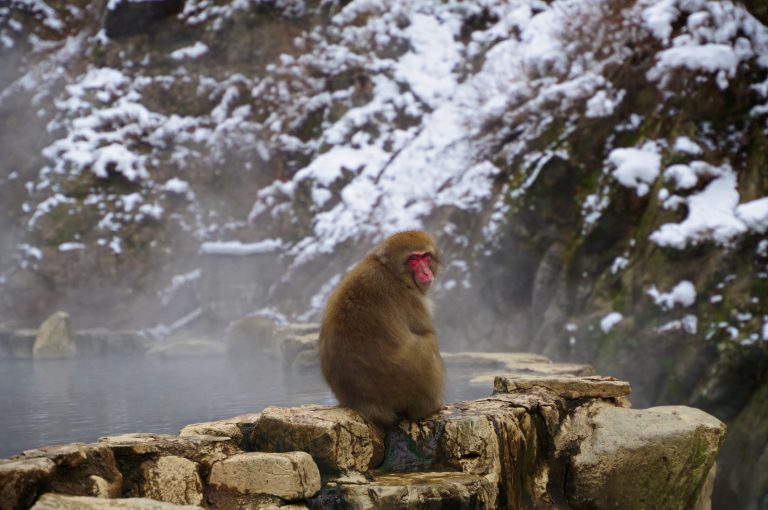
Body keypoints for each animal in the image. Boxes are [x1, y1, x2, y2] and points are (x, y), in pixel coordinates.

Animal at [319, 230, 444, 427]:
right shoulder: (412, 300)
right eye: (413, 259)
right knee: (427, 344)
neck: (391, 271)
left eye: (425, 257)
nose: (426, 272)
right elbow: (425, 331)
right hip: (403, 382)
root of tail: (366, 404)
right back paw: (428, 408)